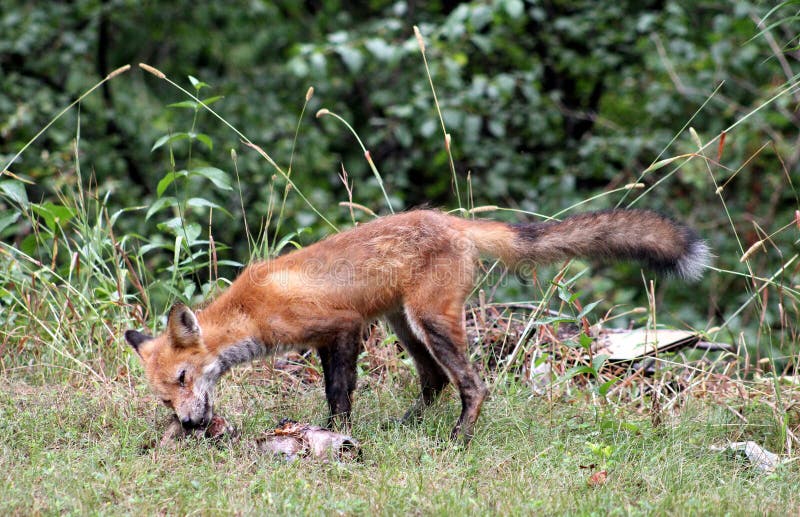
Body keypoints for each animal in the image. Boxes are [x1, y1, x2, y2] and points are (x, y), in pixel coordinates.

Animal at [124, 208, 709, 442]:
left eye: (184, 379)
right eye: (165, 397)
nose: (190, 426)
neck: (252, 311)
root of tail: (454, 221)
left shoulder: (341, 329)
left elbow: (339, 395)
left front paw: (336, 436)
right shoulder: (339, 335)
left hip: (430, 321)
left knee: (471, 384)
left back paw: (458, 440)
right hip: (404, 325)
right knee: (433, 381)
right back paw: (407, 427)